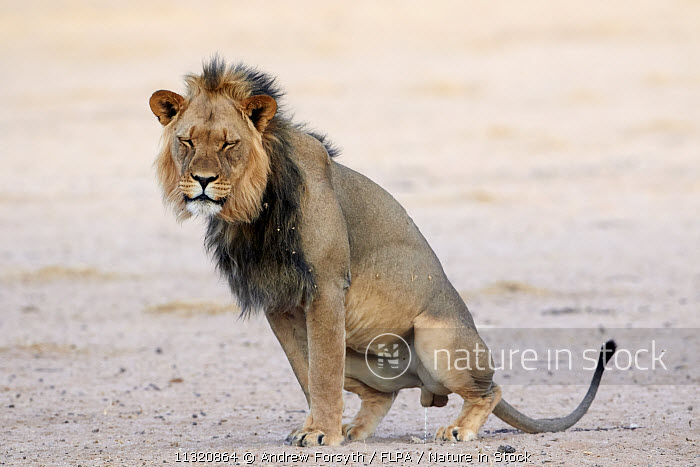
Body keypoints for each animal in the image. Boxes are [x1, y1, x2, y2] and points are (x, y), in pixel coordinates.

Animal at [149, 58, 617, 446]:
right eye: (186, 141)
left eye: (229, 144)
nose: (202, 181)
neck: (251, 211)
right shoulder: (278, 301)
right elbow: (308, 369)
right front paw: (322, 428)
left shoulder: (327, 286)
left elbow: (322, 371)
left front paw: (321, 434)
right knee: (380, 395)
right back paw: (354, 430)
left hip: (436, 338)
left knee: (491, 388)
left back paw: (458, 430)